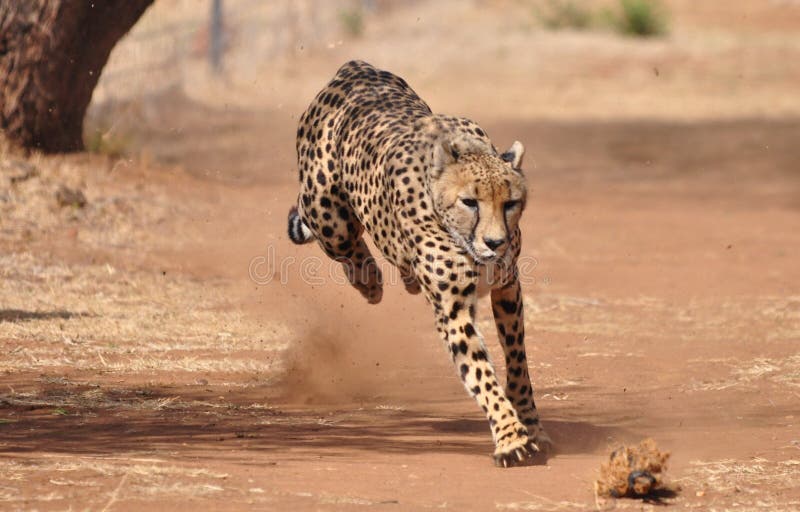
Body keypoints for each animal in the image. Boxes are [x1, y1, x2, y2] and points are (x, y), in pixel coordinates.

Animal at [287, 60, 551, 467]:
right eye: (470, 202)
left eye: (510, 203)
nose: (495, 242)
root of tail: (356, 67)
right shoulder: (453, 309)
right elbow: (480, 372)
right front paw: (511, 437)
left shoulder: (507, 286)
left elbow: (517, 359)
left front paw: (531, 424)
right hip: (326, 214)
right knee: (344, 242)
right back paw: (369, 281)